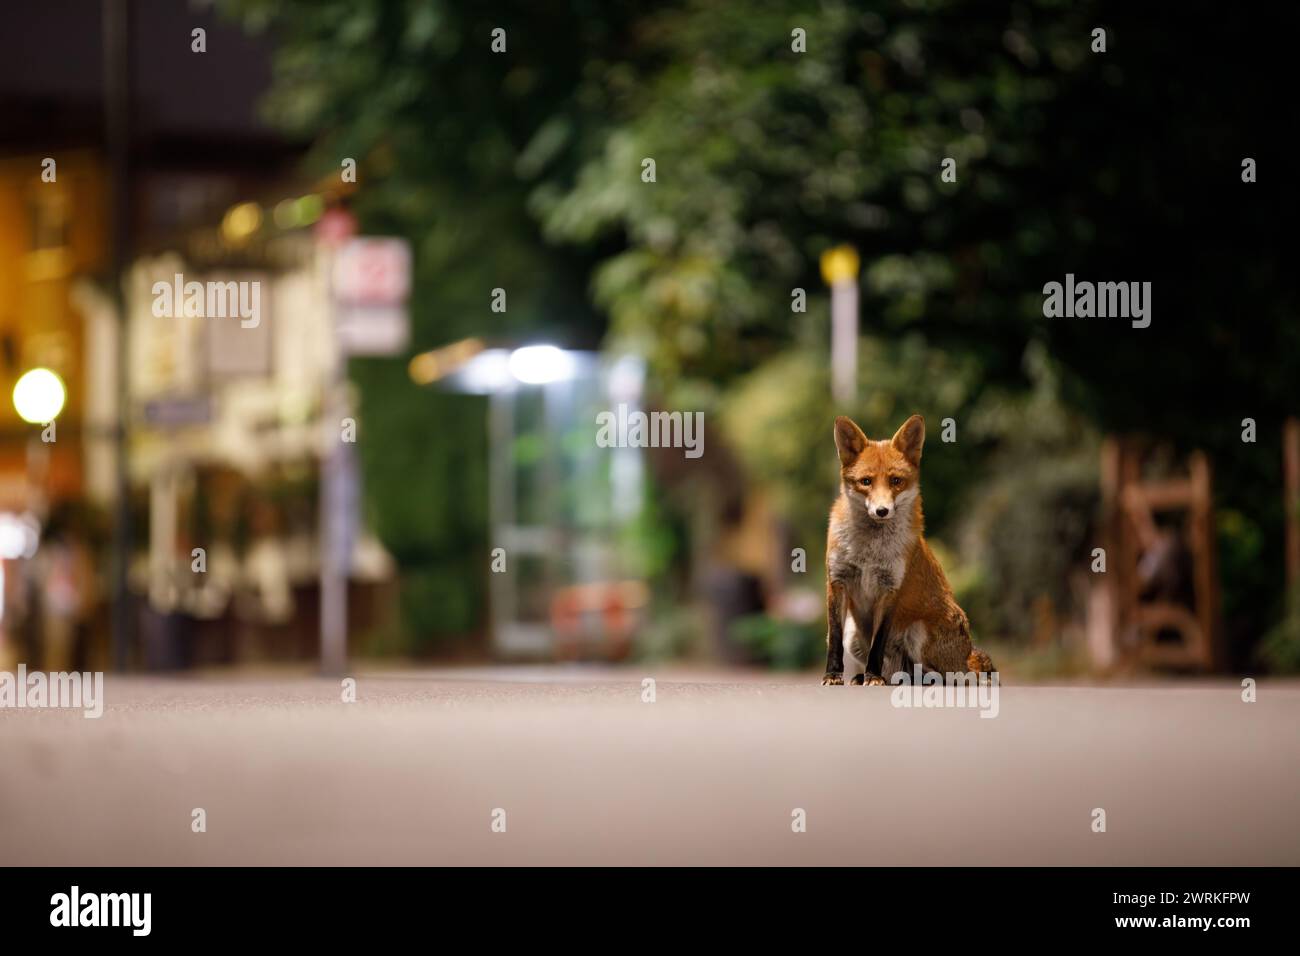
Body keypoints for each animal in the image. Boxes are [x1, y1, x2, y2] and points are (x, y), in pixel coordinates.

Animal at [821, 414, 995, 686]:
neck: (868, 552)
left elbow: (877, 644)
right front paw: (833, 675)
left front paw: (873, 676)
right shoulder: (837, 581)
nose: (882, 511)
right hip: (855, 636)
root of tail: (967, 654)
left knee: (954, 677)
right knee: (904, 674)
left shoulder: (891, 587)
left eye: (896, 481)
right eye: (866, 482)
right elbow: (834, 641)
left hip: (918, 632)